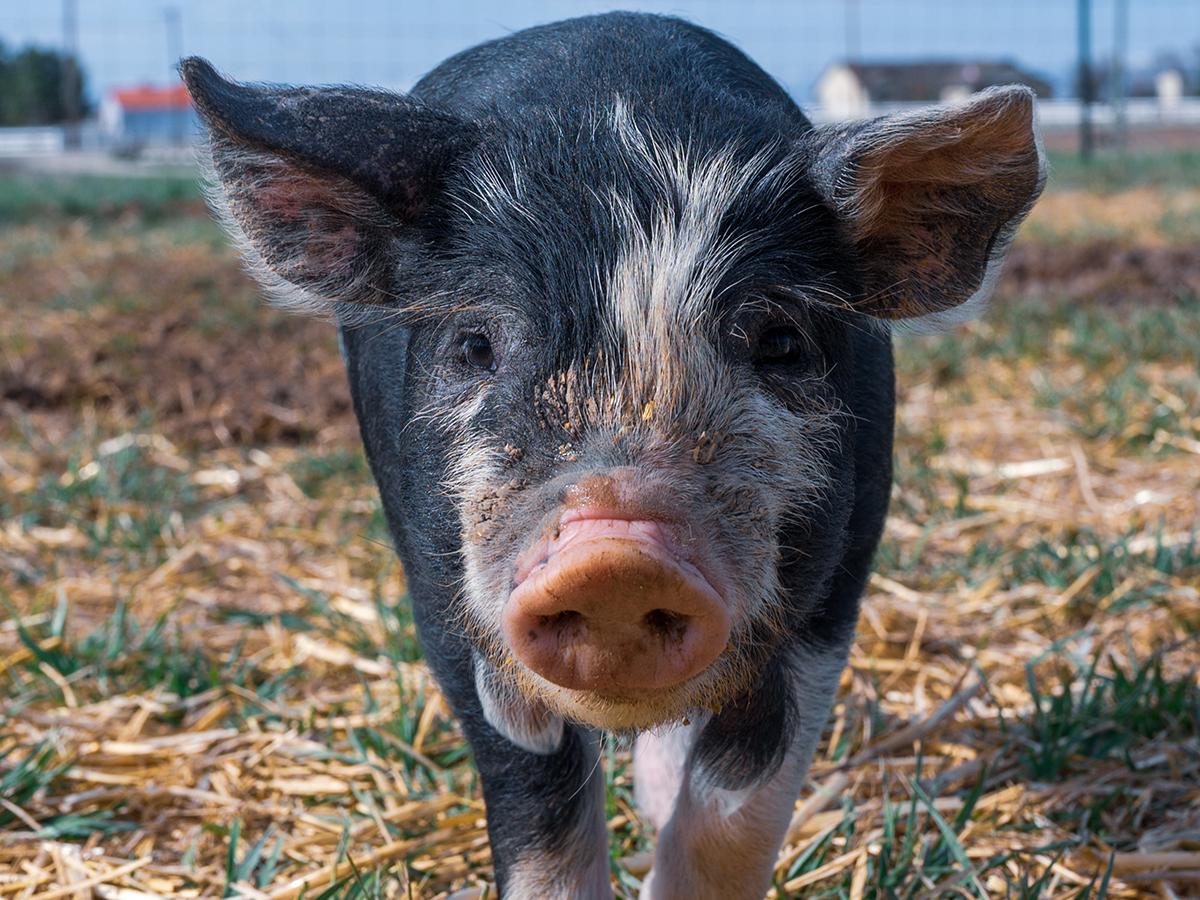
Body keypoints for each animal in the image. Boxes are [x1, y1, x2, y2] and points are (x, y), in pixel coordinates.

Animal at [181, 11, 1043, 899]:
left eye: (780, 342)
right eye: (474, 344)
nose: (616, 555)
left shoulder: (836, 583)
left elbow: (739, 802)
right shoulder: (441, 593)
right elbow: (538, 803)